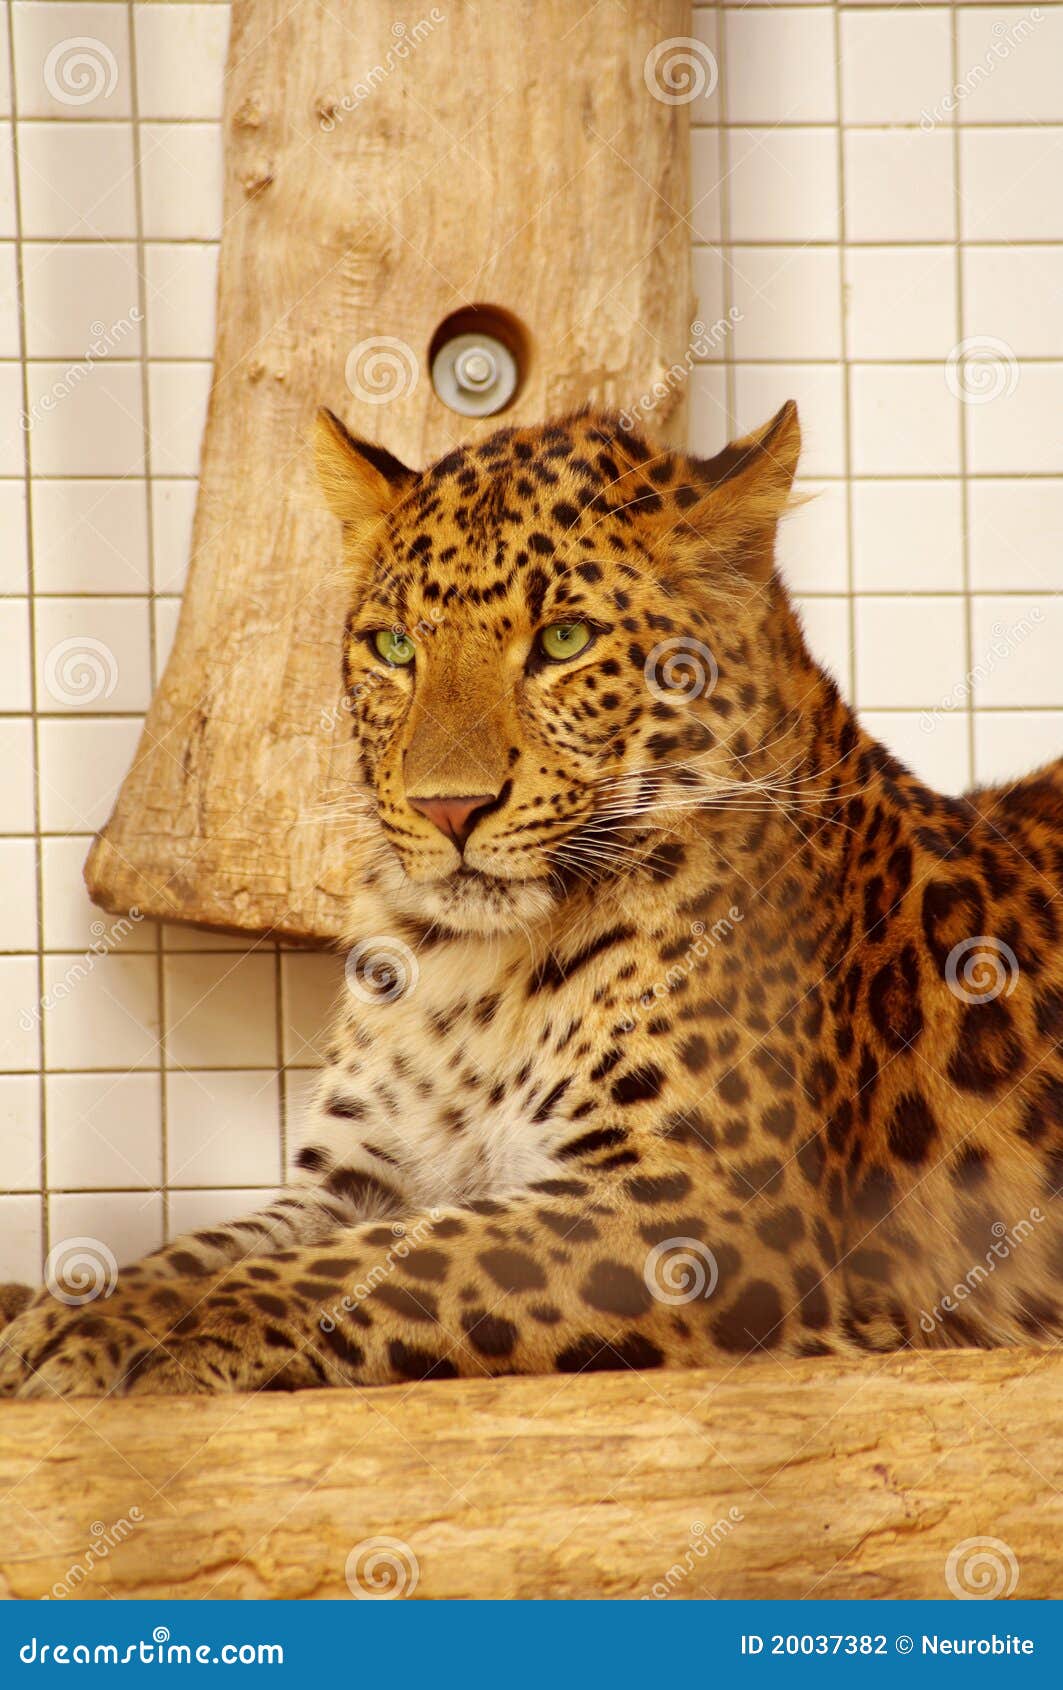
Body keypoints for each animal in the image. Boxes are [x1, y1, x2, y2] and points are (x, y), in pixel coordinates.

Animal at [2, 397, 1062, 1401]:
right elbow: (217, 1246)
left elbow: (394, 1263)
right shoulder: (360, 1176)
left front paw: (152, 1330)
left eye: (563, 639)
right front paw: (72, 1308)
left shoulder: (704, 1206)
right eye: (394, 647)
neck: (472, 971)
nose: (448, 805)